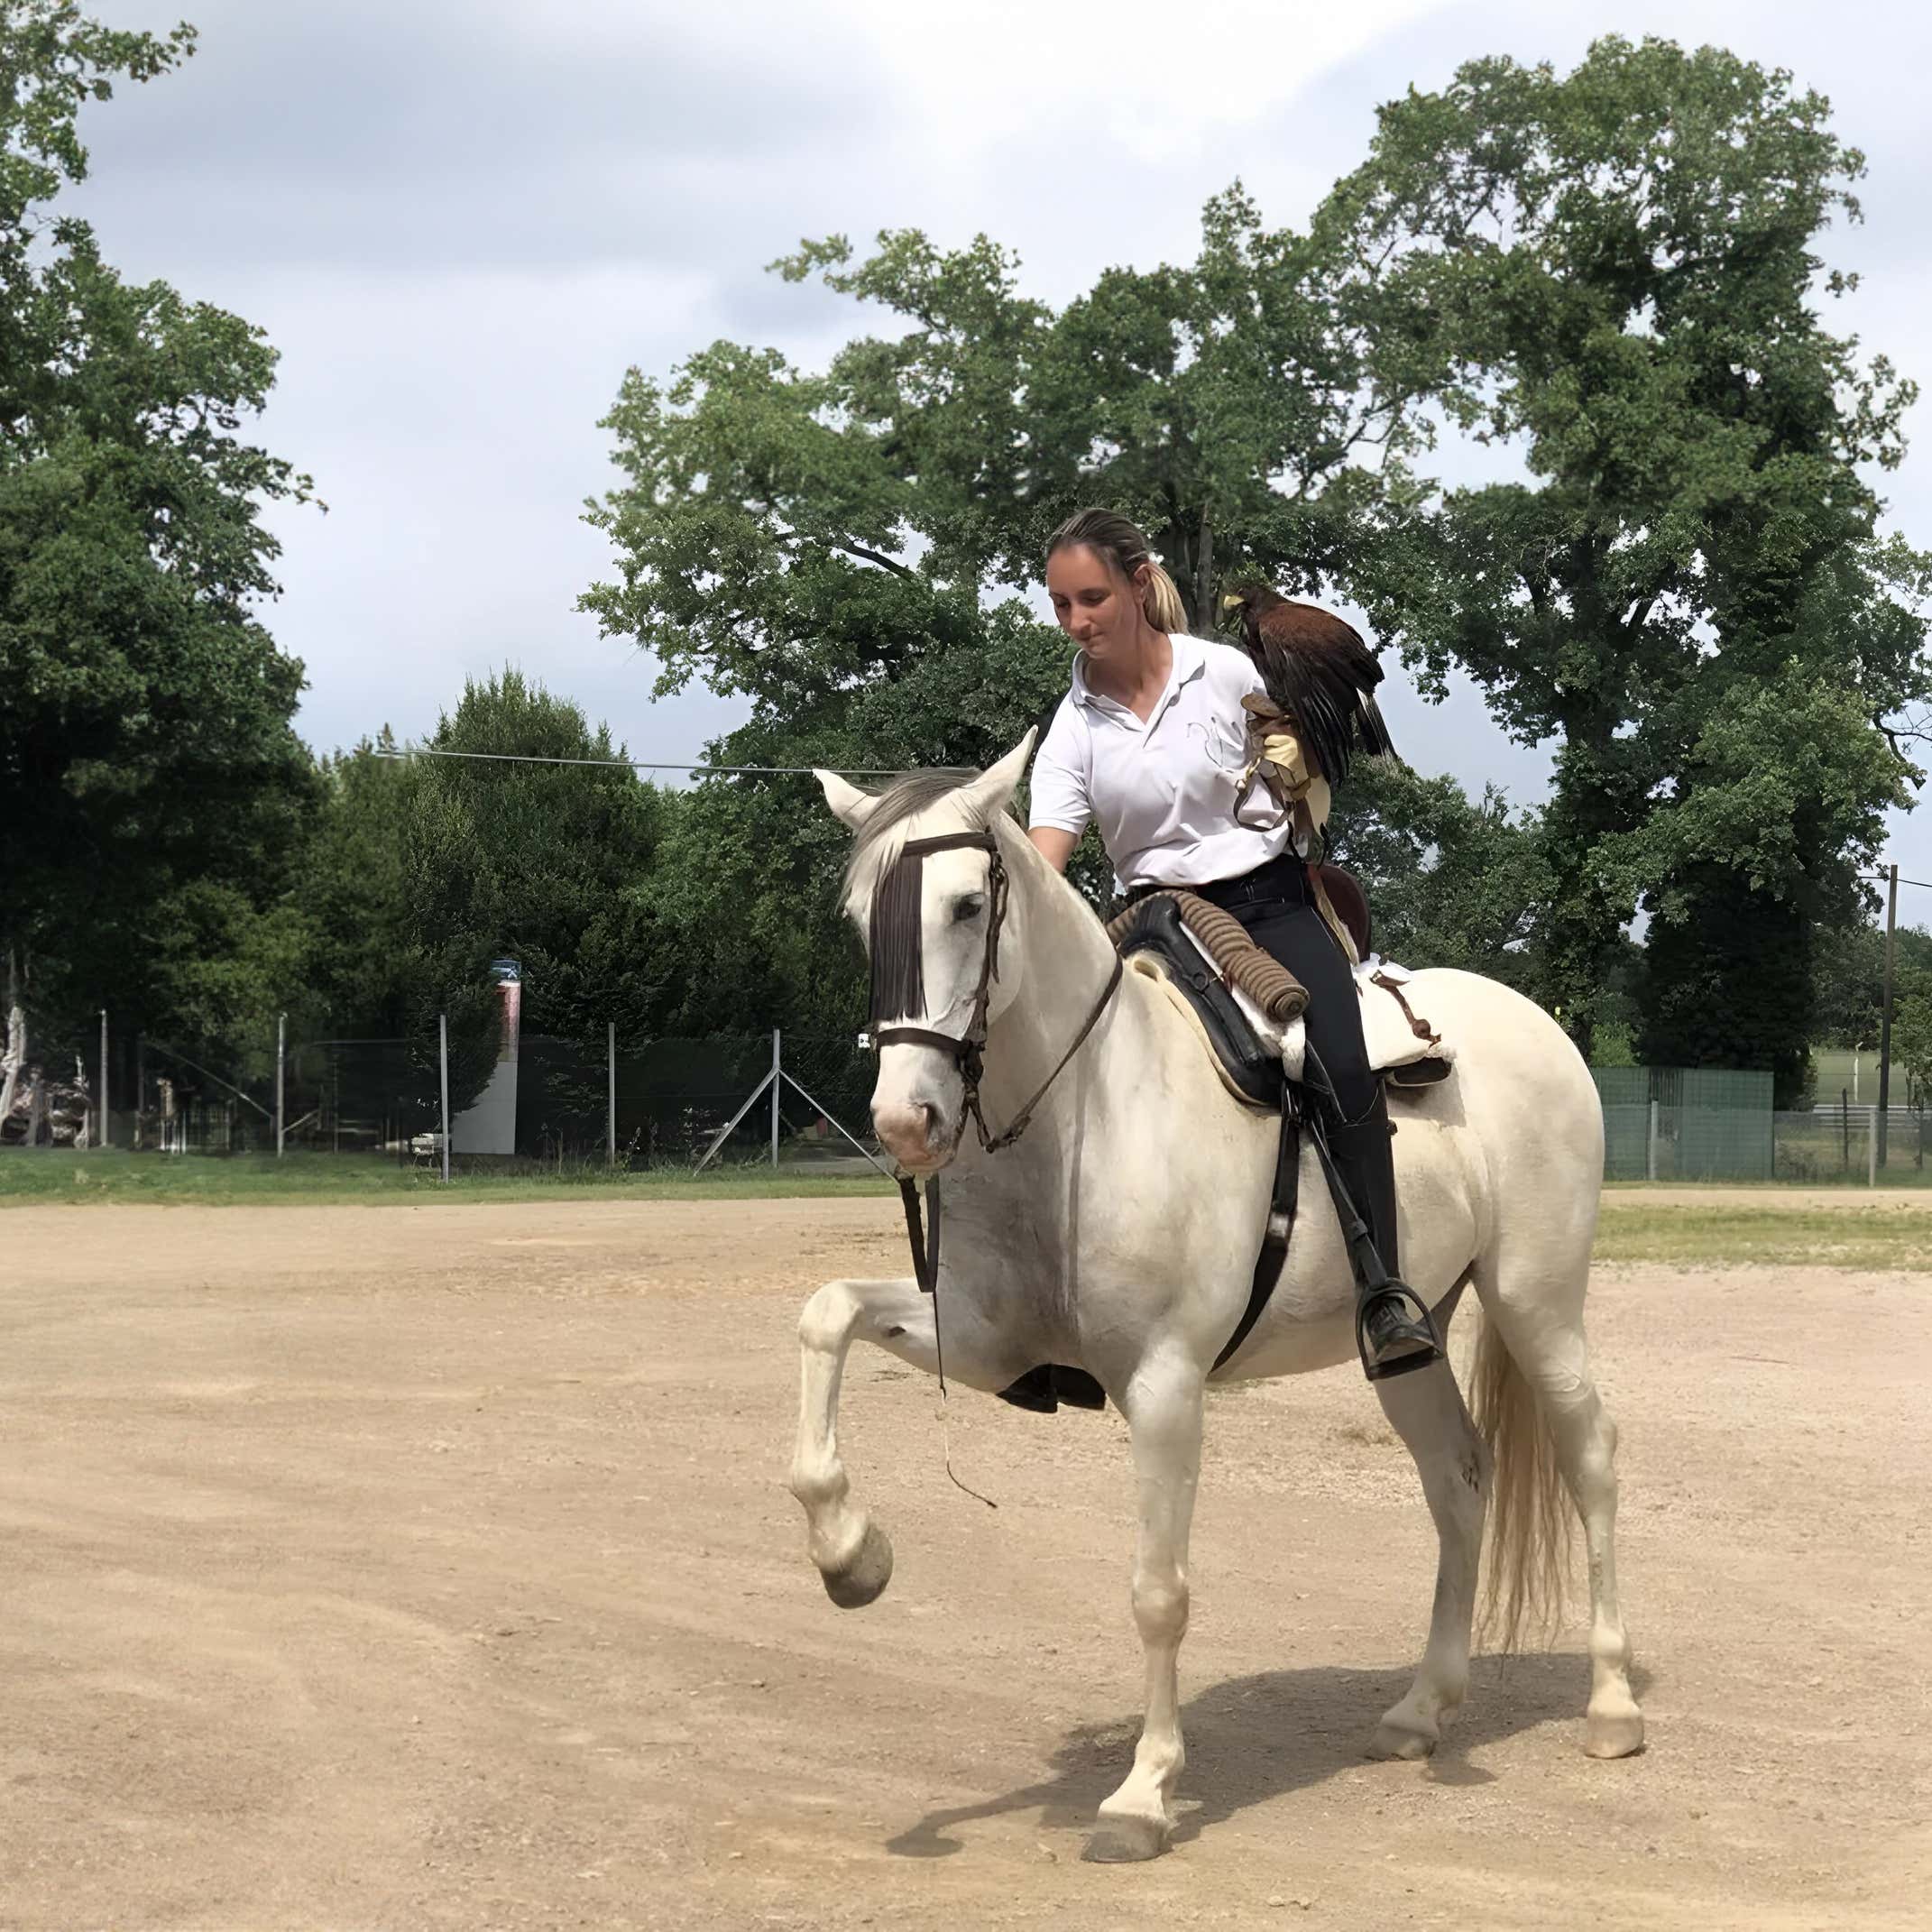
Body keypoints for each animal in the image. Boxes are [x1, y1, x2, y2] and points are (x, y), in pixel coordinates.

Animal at [789, 734, 1642, 1863]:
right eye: (860, 916)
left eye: (968, 905)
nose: (904, 1121)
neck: (1082, 1113)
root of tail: (1533, 1025)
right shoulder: (981, 1340)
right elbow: (825, 1313)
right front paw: (851, 1556)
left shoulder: (1164, 1386)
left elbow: (1158, 1592)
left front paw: (1142, 1795)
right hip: (1407, 1342)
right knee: (1460, 1482)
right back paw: (1420, 1712)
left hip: (1539, 1304)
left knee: (1590, 1462)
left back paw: (1612, 1705)